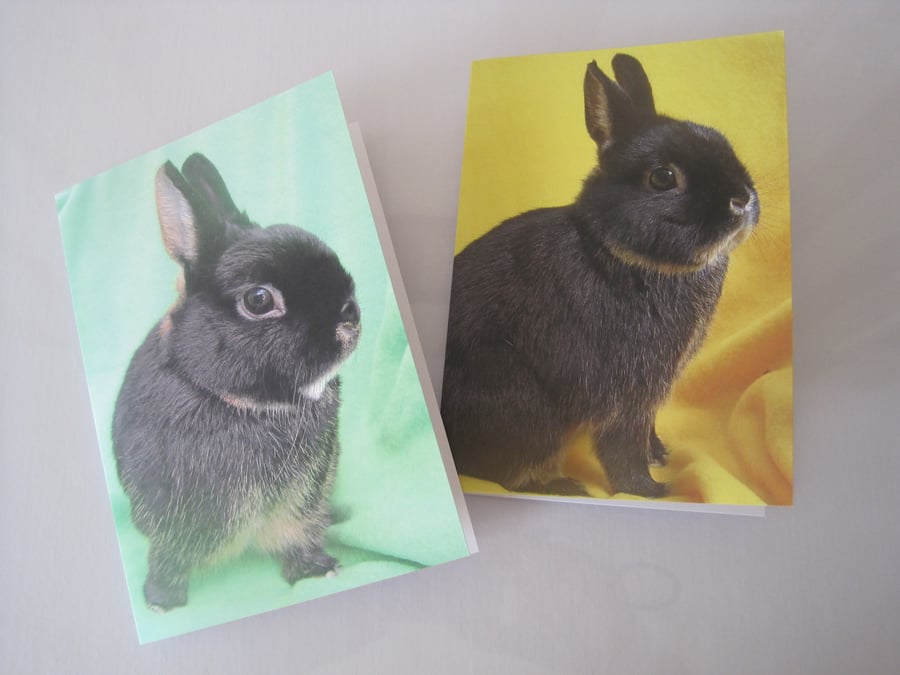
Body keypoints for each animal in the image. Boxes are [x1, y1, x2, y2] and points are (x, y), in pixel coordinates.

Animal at [112, 153, 361, 611]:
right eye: (259, 300)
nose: (349, 315)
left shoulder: (303, 500)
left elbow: (299, 535)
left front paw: (315, 569)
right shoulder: (171, 516)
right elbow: (169, 557)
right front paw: (161, 599)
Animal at [440, 54, 759, 498]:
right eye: (663, 177)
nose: (742, 200)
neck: (621, 252)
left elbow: (646, 430)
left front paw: (660, 453)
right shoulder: (625, 390)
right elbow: (622, 444)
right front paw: (652, 489)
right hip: (522, 407)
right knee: (508, 474)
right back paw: (566, 487)